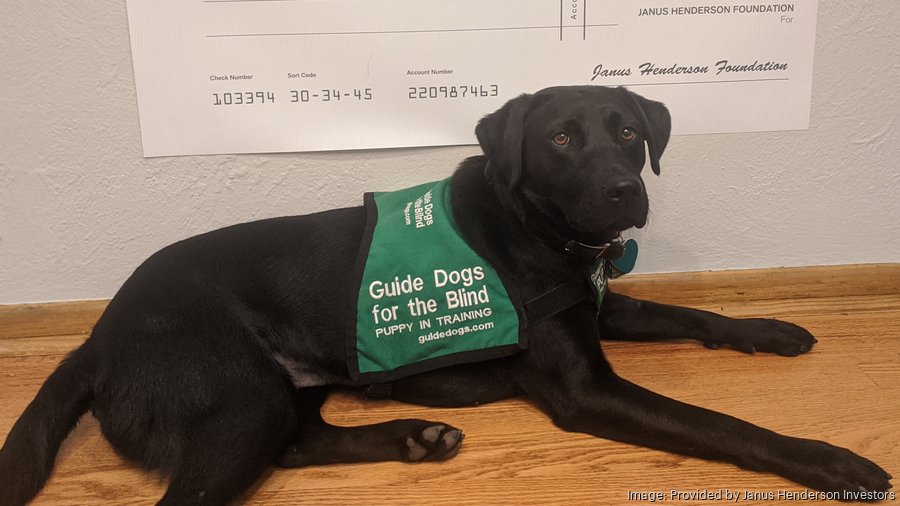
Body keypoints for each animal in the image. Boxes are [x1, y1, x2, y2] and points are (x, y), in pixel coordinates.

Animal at [0, 85, 892, 505]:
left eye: (629, 132)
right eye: (560, 139)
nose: (622, 193)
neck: (538, 231)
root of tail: (95, 338)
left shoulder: (603, 308)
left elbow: (697, 315)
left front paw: (772, 328)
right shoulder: (586, 390)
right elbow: (720, 423)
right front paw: (829, 460)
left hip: (281, 391)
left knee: (299, 443)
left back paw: (413, 438)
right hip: (236, 397)